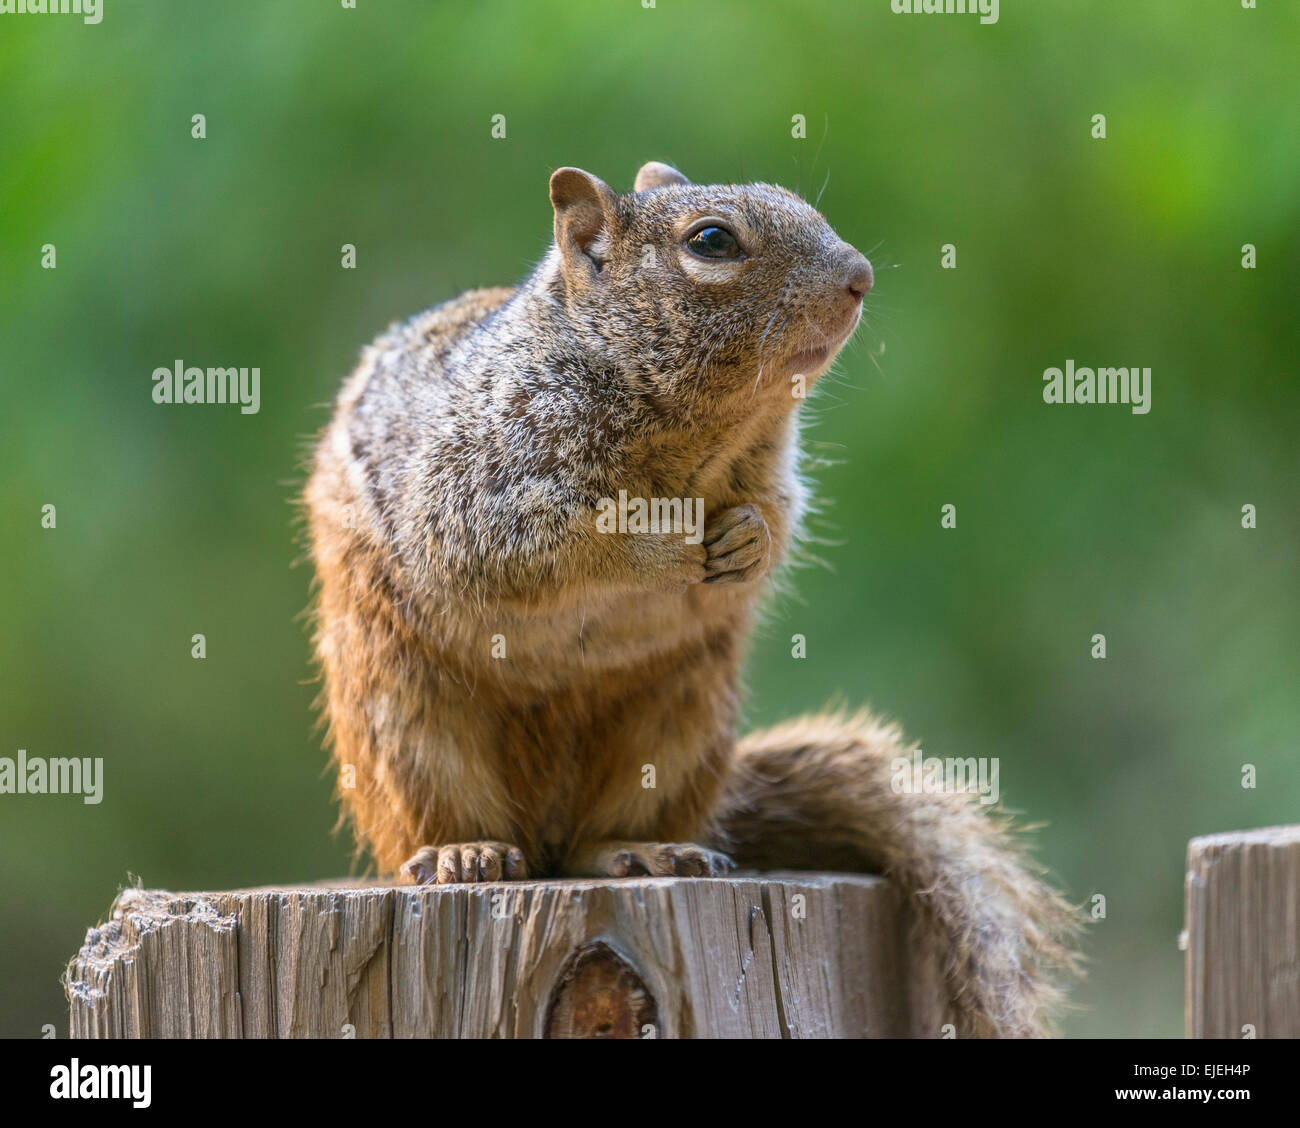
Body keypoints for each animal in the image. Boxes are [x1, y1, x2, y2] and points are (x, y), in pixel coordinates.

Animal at [303, 160, 1081, 1037]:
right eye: (711, 241)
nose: (860, 276)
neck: (698, 436)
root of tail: (541, 829)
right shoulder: (476, 486)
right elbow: (534, 545)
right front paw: (660, 545)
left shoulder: (770, 476)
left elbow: (778, 519)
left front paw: (748, 541)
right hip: (406, 724)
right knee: (444, 821)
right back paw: (464, 852)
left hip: (678, 725)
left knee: (594, 843)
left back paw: (641, 851)